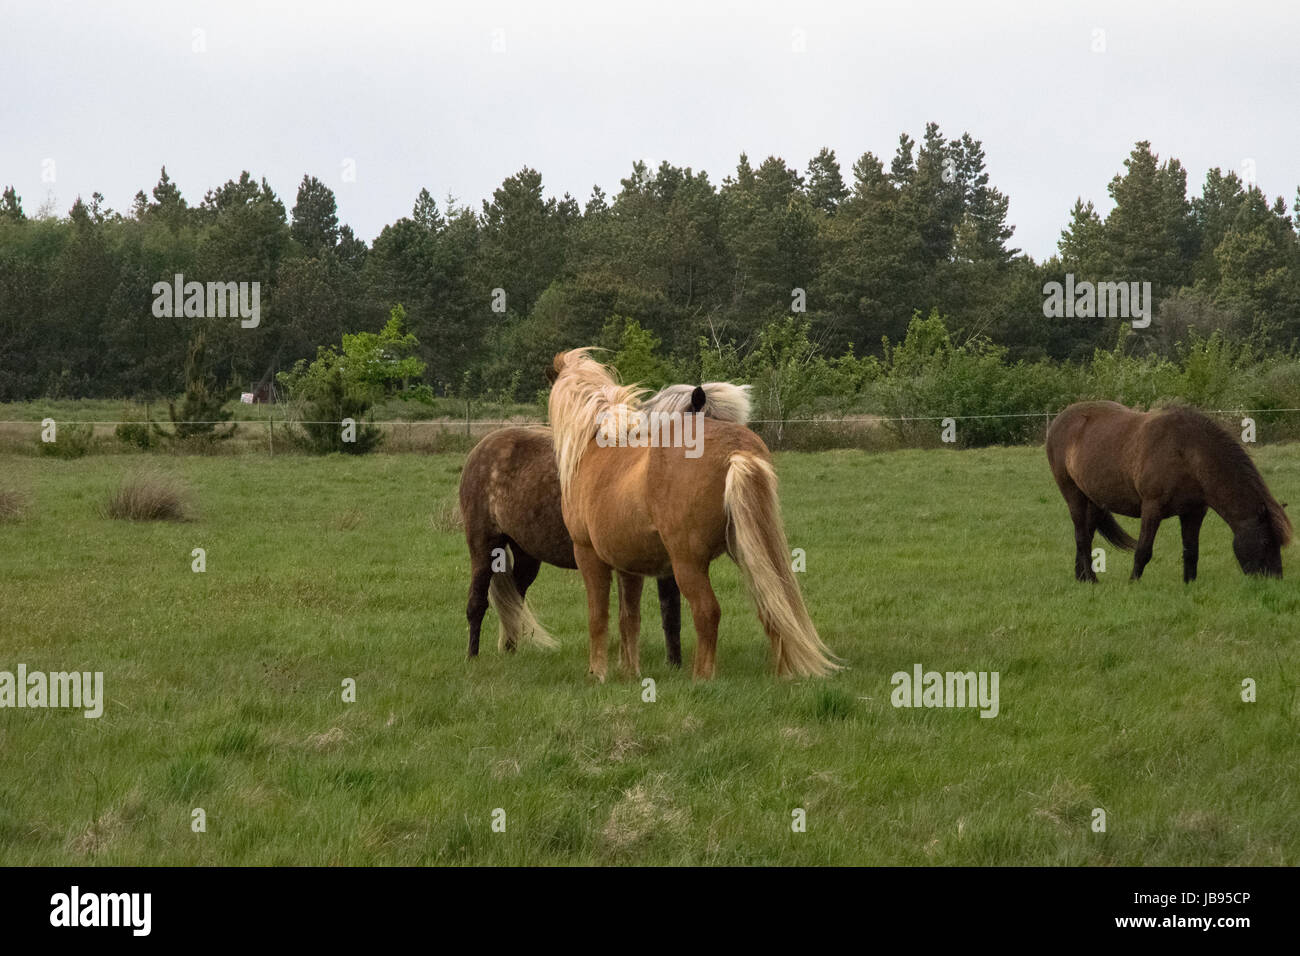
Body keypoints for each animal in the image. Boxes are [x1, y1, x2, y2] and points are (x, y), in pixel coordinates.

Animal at [458, 380, 754, 662]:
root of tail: (483, 447)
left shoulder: (670, 562)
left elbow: (671, 616)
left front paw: (675, 664)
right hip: (484, 544)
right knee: (477, 602)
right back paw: (473, 657)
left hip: (526, 550)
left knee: (515, 599)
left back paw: (510, 650)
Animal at [545, 348, 841, 681]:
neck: (596, 442)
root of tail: (736, 450)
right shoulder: (629, 567)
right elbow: (629, 619)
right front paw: (631, 673)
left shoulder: (588, 554)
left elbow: (599, 617)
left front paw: (598, 674)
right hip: (749, 551)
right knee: (773, 606)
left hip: (687, 562)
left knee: (707, 611)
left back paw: (701, 677)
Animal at [1045, 400, 1291, 581]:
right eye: (1267, 542)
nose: (1275, 580)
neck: (1187, 454)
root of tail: (1059, 420)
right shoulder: (1152, 508)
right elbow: (1143, 551)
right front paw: (1133, 583)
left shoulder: (1194, 512)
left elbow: (1191, 552)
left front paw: (1189, 584)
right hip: (1073, 495)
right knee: (1081, 536)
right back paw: (1091, 579)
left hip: (1095, 499)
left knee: (1087, 534)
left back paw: (1082, 577)